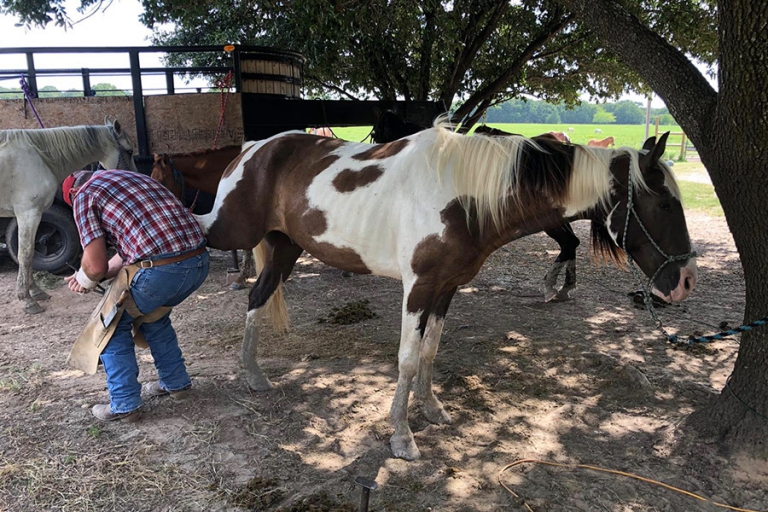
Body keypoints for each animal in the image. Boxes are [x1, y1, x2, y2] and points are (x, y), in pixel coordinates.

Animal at [0, 118, 137, 314]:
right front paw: (27, 300)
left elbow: (29, 255)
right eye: (129, 151)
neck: (39, 157)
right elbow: (25, 255)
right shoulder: (28, 214)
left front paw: (35, 291)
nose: (136, 173)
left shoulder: (32, 215)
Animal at [196, 124, 697, 460]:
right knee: (199, 240)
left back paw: (254, 374)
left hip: (285, 247)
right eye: (664, 203)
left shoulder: (446, 288)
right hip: (228, 229)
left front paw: (432, 408)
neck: (464, 197)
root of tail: (253, 149)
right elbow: (406, 357)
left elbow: (431, 350)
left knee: (257, 298)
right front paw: (401, 436)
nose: (686, 281)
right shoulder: (418, 288)